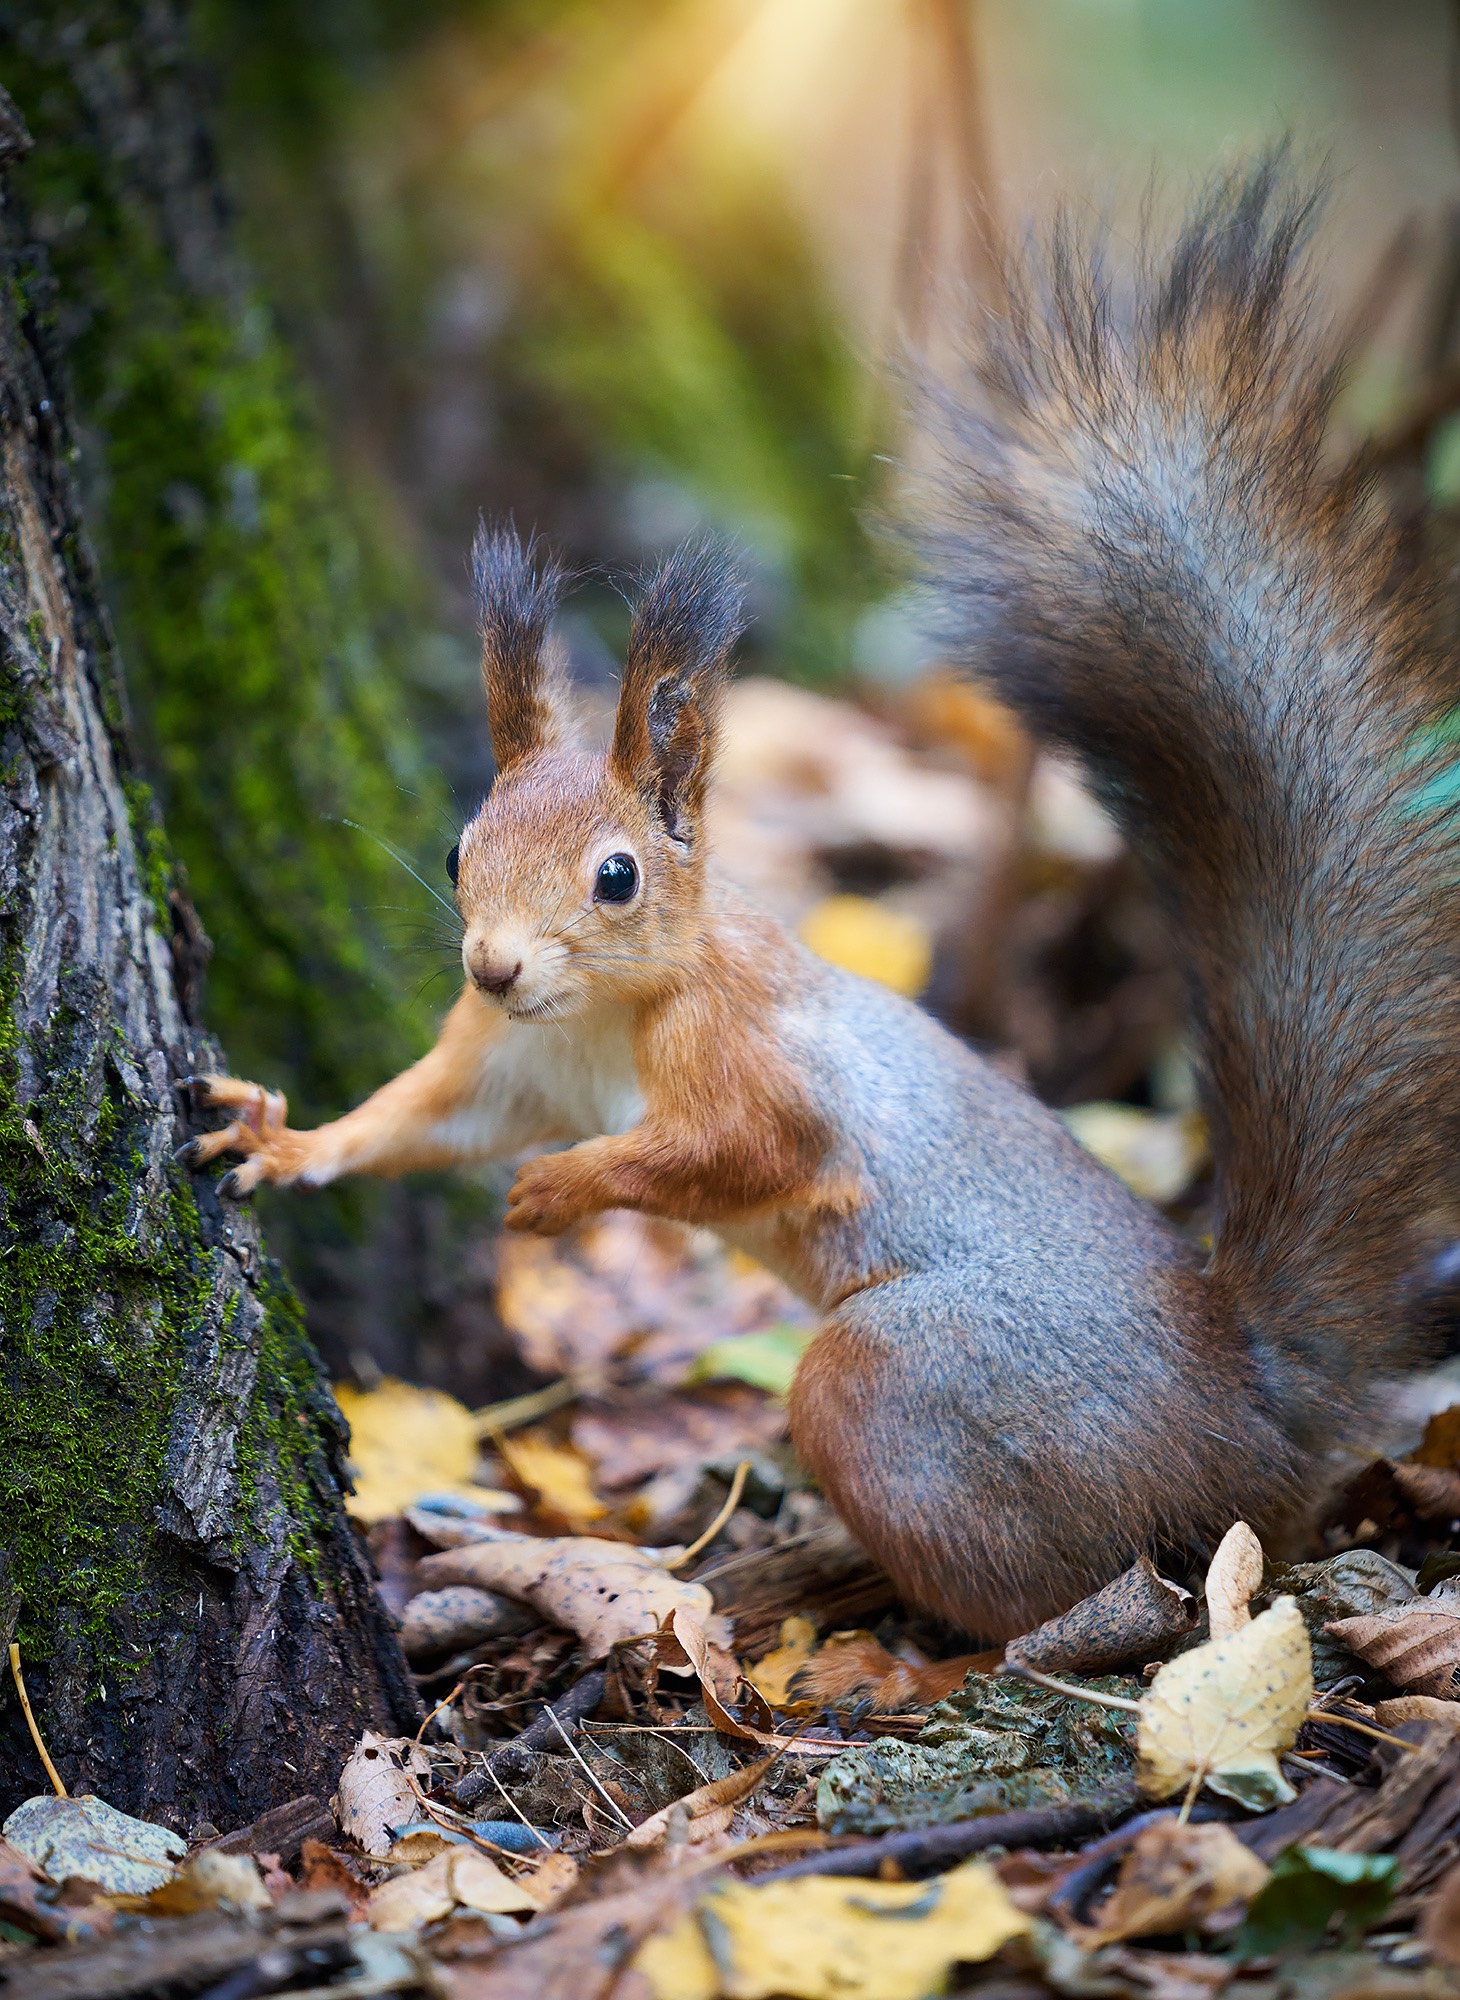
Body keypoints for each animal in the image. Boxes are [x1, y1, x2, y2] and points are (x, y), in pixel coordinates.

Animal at [182, 168, 1456, 1672]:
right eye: (458, 848)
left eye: (618, 877)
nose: (491, 965)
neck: (606, 1013)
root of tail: (1251, 1413)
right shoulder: (506, 1060)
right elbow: (416, 1119)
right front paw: (283, 1141)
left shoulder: (746, 1058)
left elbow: (732, 1149)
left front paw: (562, 1190)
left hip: (898, 1380)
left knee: (1059, 1567)